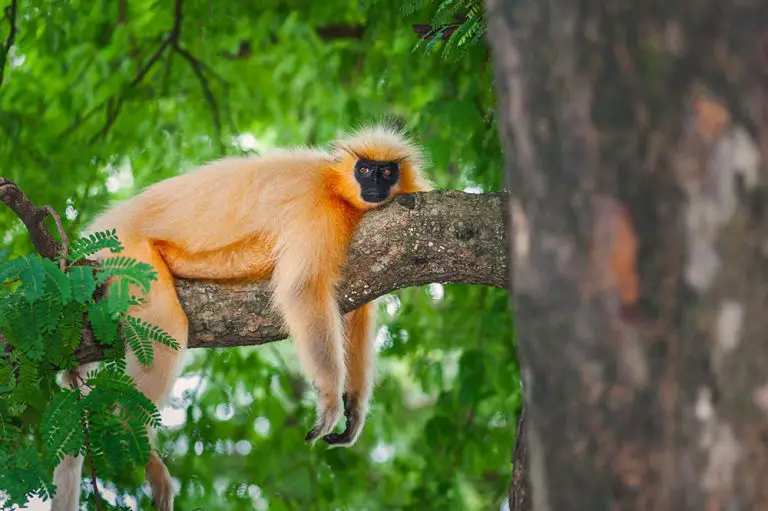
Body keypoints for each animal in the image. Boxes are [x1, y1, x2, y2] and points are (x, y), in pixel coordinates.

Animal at [50, 123, 432, 511]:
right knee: (169, 327)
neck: (334, 187)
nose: (375, 185)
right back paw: (138, 438)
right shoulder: (316, 210)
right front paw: (328, 401)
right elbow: (301, 290)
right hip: (126, 252)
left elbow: (355, 308)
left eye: (387, 172)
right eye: (365, 169)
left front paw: (353, 407)